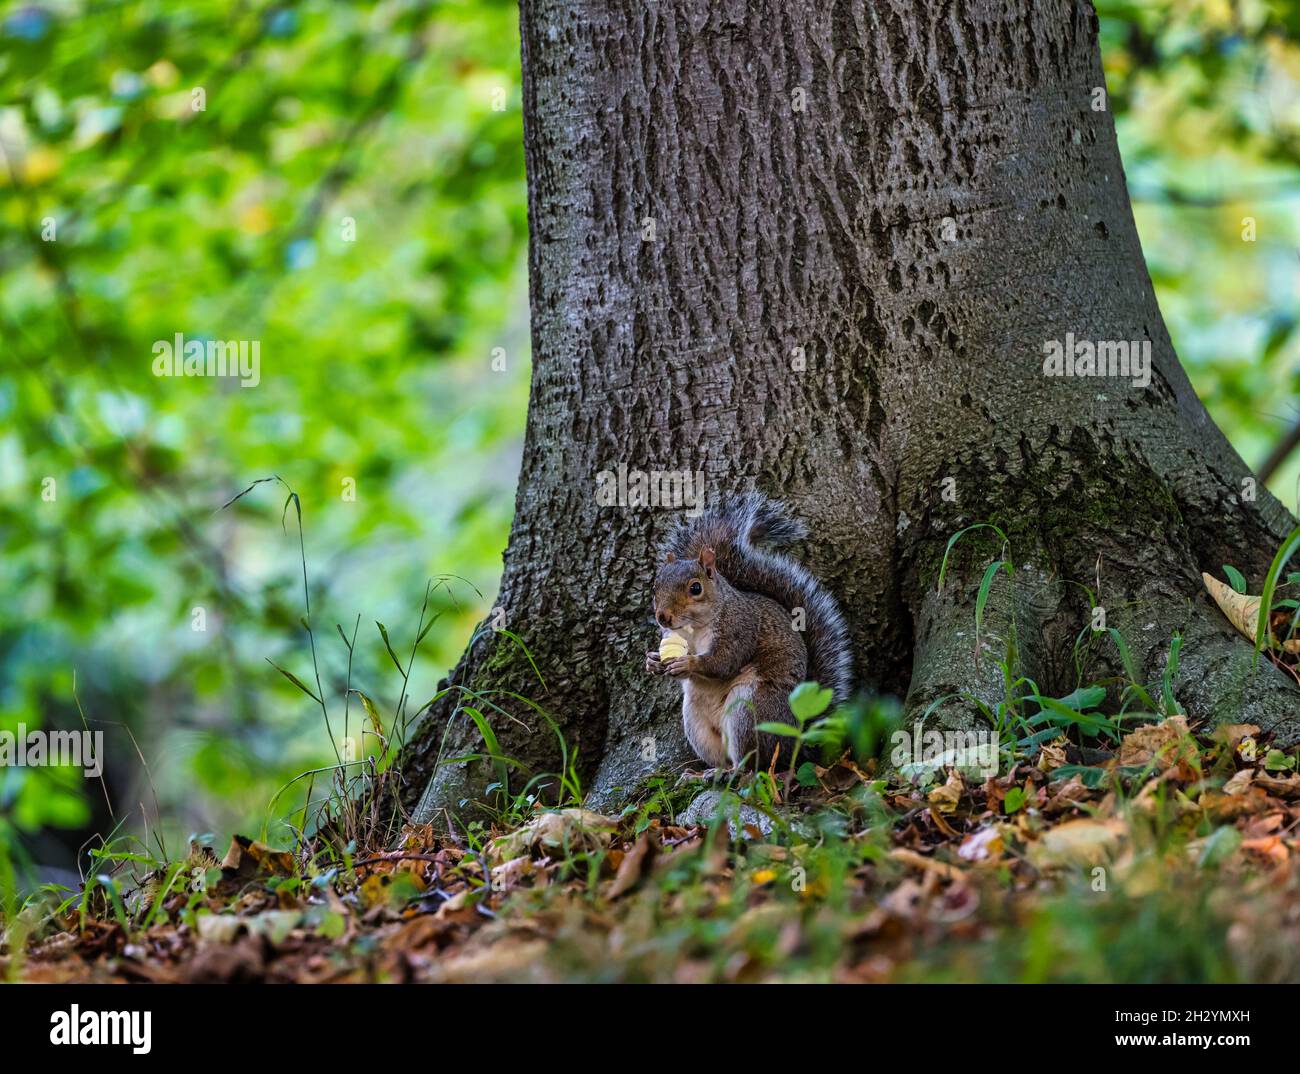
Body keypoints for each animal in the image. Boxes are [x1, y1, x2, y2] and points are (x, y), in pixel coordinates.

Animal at [644, 493, 853, 771]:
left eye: (696, 588)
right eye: (655, 586)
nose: (663, 617)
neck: (694, 628)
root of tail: (793, 742)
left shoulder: (740, 627)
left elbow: (723, 662)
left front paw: (689, 663)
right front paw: (653, 662)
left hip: (749, 709)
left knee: (751, 765)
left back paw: (729, 771)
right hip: (696, 723)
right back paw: (704, 773)